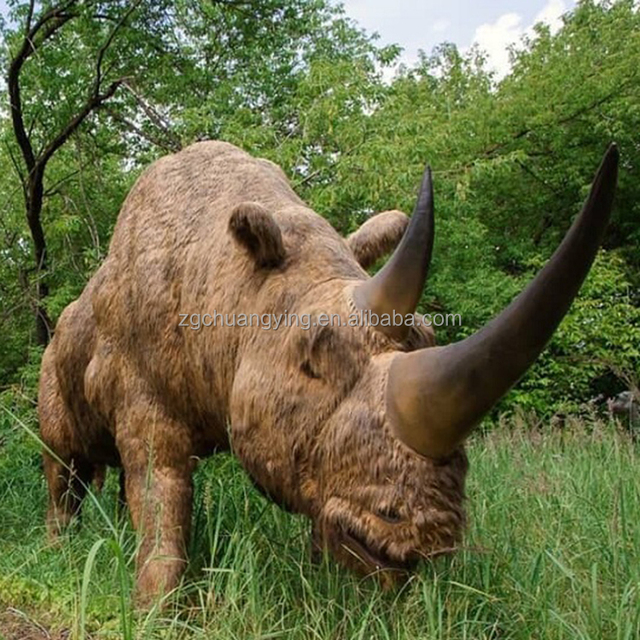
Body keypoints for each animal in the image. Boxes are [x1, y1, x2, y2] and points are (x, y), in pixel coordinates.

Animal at [38, 141, 618, 601]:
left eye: (429, 336)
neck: (233, 279)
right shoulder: (142, 391)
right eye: (313, 358)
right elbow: (162, 499)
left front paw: (325, 584)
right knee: (63, 461)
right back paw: (60, 548)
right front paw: (155, 607)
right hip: (54, 358)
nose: (429, 534)